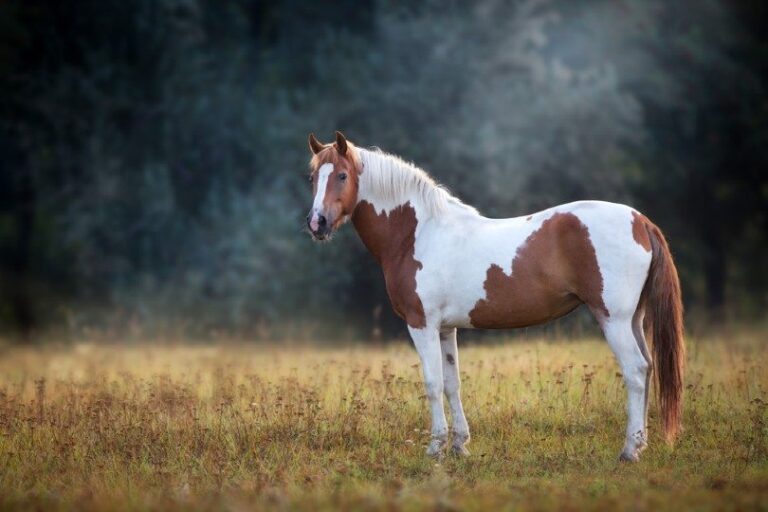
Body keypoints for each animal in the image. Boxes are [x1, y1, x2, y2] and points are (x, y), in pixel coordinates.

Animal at [305, 131, 685, 462]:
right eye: (312, 177)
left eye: (341, 175)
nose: (316, 223)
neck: (418, 233)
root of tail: (640, 220)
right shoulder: (446, 329)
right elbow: (452, 383)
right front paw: (459, 446)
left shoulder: (421, 324)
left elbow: (432, 383)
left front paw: (435, 448)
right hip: (634, 319)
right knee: (648, 367)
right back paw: (641, 443)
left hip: (613, 318)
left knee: (635, 370)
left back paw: (629, 451)